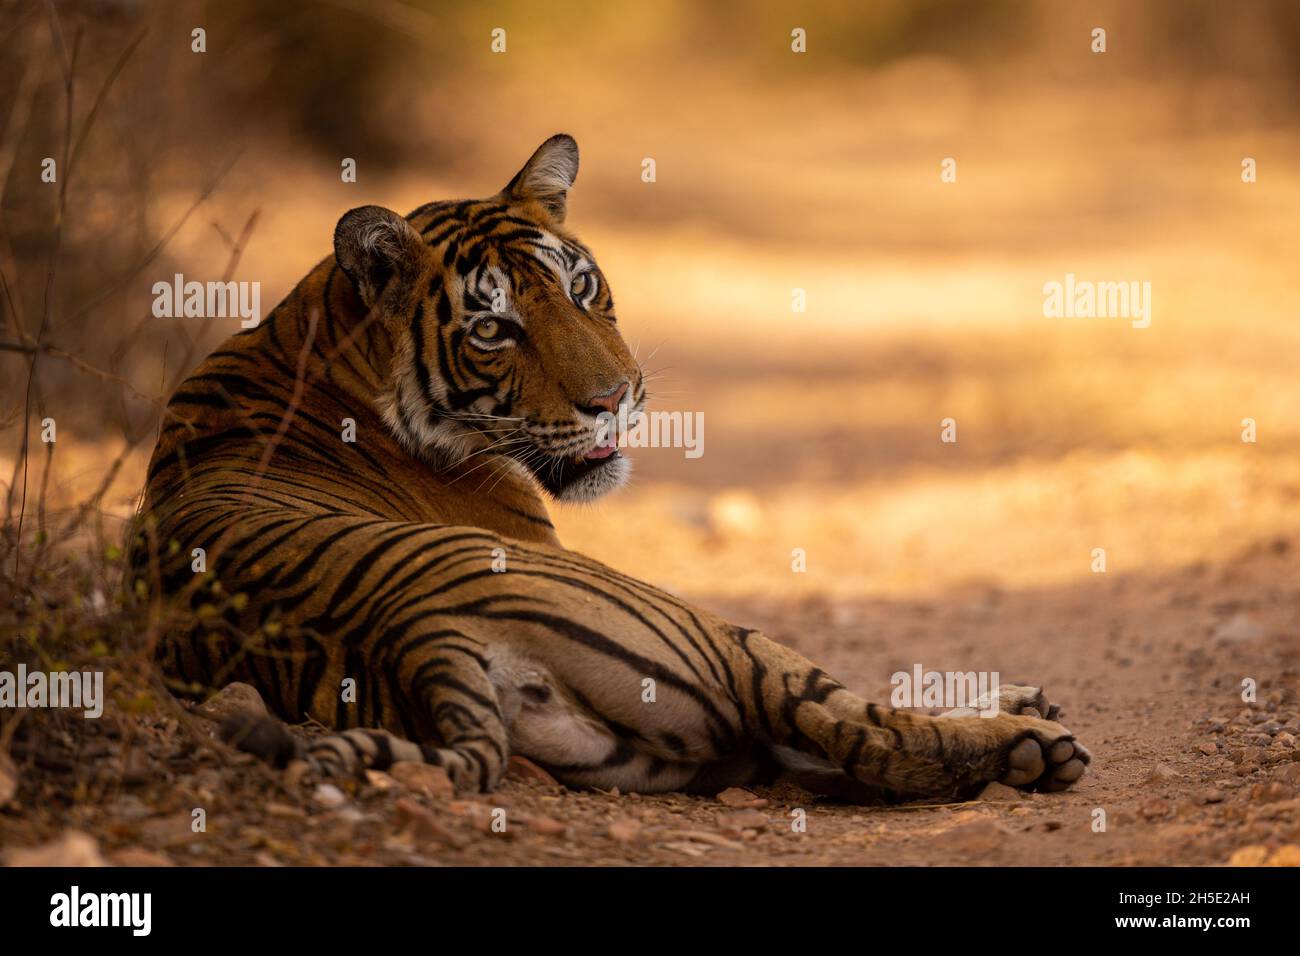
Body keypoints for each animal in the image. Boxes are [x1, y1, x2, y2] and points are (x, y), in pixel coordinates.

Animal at [130, 134, 1090, 802]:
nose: (615, 396)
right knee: (858, 732)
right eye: (493, 328)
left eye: (580, 287)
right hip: (713, 636)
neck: (312, 342)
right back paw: (1031, 740)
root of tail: (417, 637)